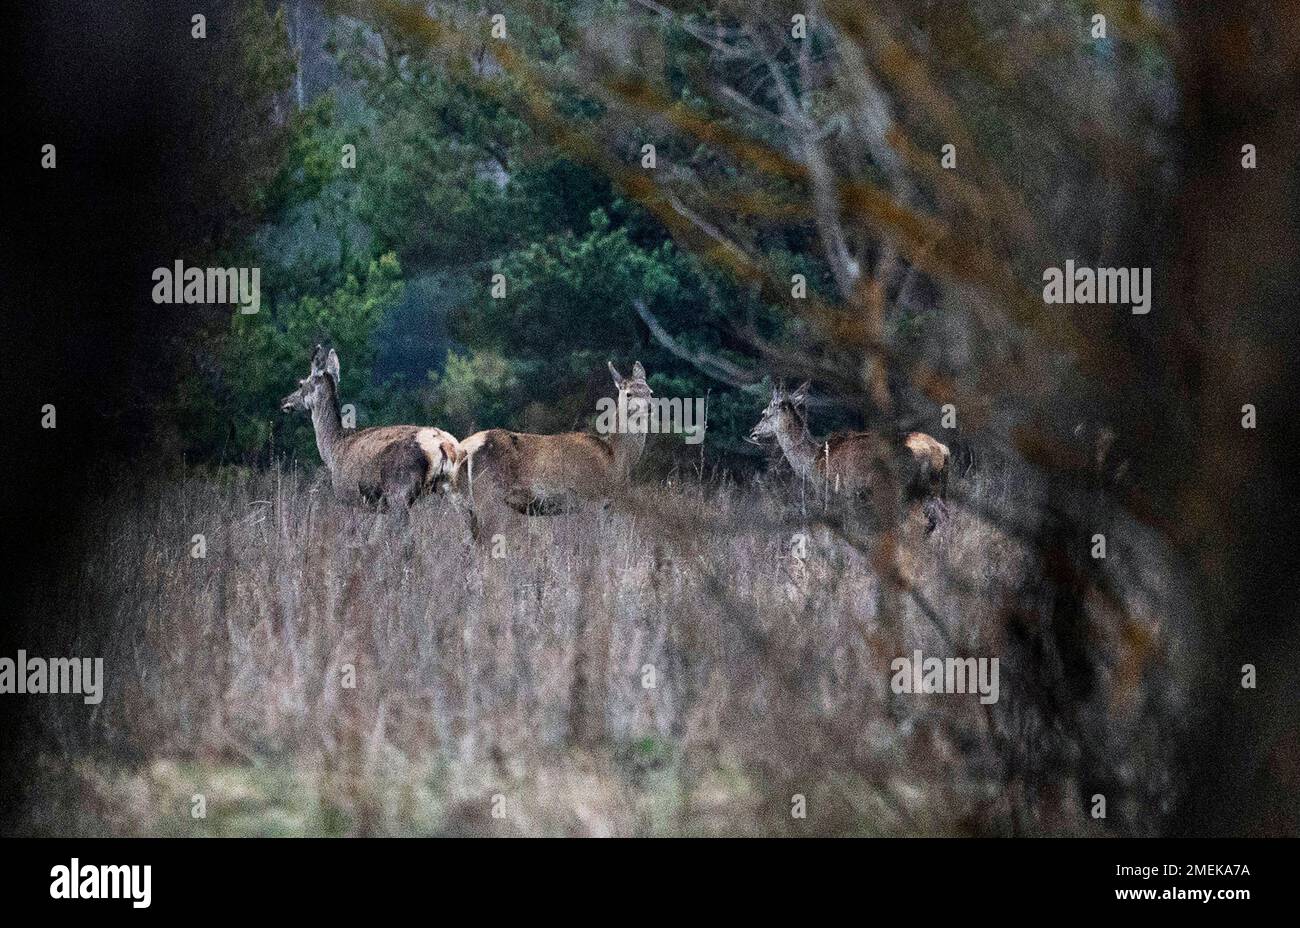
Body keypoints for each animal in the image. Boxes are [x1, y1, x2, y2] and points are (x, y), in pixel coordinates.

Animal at [280, 345, 459, 519]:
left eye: (301, 383)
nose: (284, 401)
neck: (333, 449)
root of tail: (443, 445)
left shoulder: (349, 496)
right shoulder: (379, 507)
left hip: (399, 489)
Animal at [451, 361, 653, 541]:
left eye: (650, 391)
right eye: (628, 393)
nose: (650, 406)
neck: (614, 460)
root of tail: (464, 449)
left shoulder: (605, 504)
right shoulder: (591, 499)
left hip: (462, 501)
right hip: (488, 495)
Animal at [748, 381, 951, 533]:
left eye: (764, 413)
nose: (753, 432)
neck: (813, 460)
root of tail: (942, 449)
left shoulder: (835, 492)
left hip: (907, 489)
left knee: (921, 522)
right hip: (937, 489)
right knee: (943, 518)